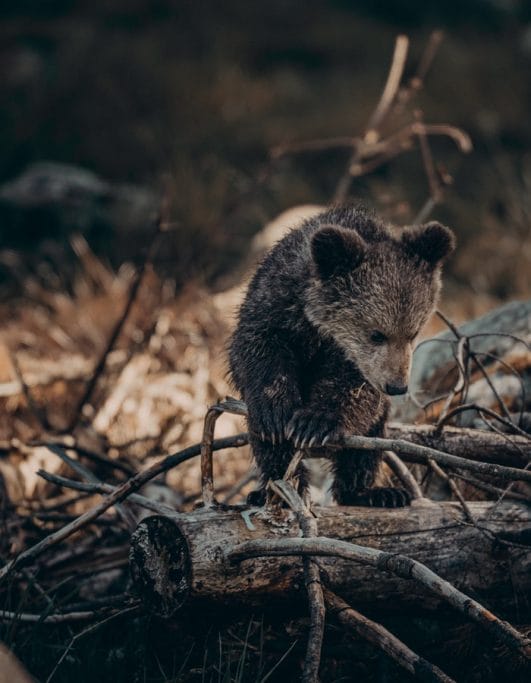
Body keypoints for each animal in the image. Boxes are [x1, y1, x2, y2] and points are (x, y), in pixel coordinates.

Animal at [229, 204, 455, 507]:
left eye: (413, 332)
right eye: (377, 334)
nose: (396, 386)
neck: (322, 328)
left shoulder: (356, 364)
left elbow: (354, 392)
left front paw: (315, 423)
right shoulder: (275, 307)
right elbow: (255, 353)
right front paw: (275, 413)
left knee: (365, 446)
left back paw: (374, 493)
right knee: (269, 448)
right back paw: (273, 490)